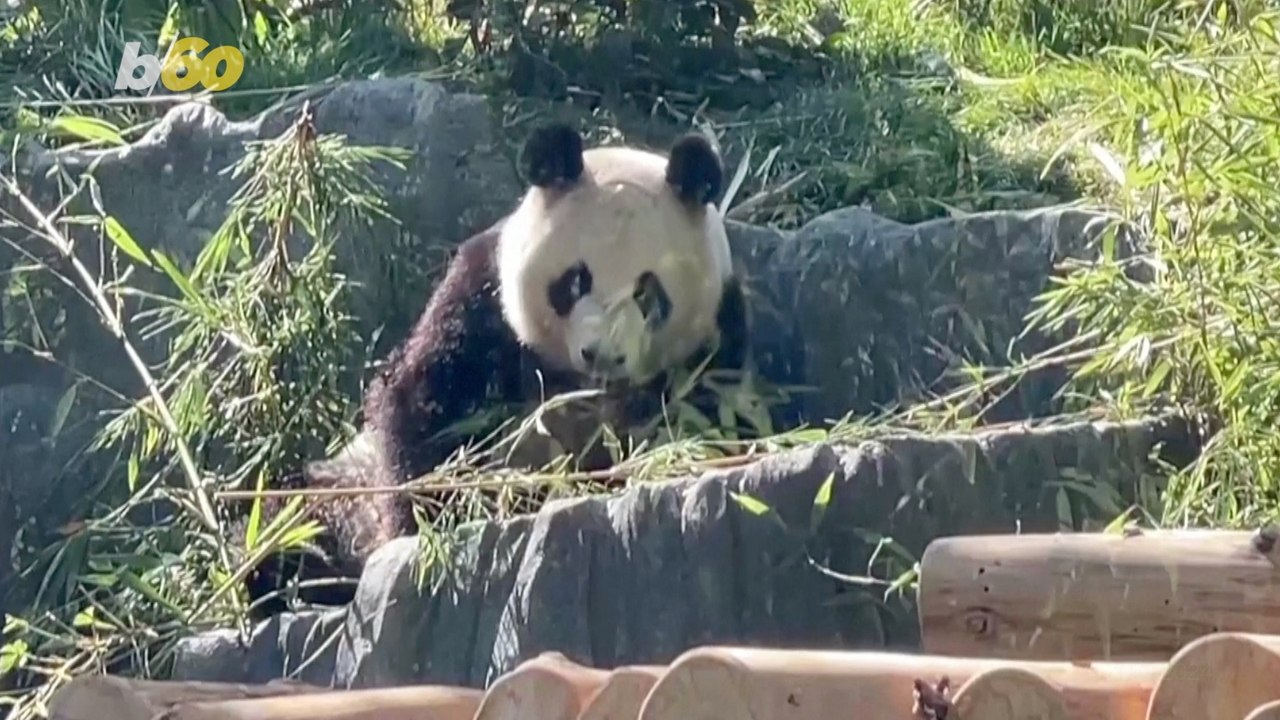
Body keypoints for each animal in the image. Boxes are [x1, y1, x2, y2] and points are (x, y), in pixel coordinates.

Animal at [237, 122, 753, 619]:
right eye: (575, 281)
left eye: (648, 291)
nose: (601, 355)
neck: (580, 386)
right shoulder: (481, 299)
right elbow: (426, 405)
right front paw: (439, 522)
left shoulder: (716, 342)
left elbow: (714, 425)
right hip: (351, 487)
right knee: (295, 512)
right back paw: (292, 580)